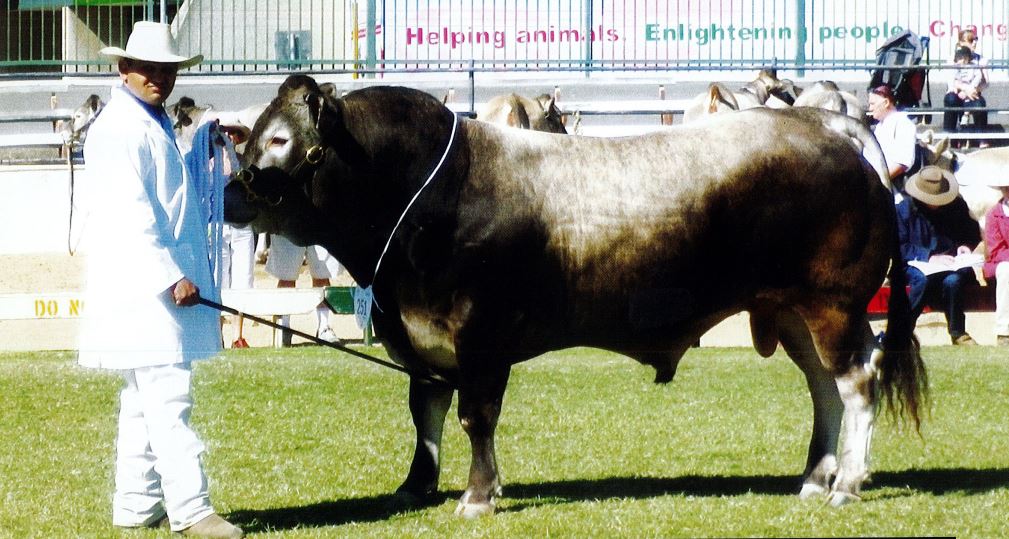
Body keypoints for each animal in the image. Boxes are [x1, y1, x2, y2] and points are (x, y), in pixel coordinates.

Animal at [225, 75, 926, 517]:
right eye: (251, 135)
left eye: (282, 140)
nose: (233, 192)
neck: (429, 195)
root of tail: (826, 123)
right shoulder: (421, 336)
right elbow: (425, 411)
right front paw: (415, 485)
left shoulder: (481, 337)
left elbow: (475, 417)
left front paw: (476, 496)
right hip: (791, 312)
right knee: (822, 388)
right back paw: (813, 479)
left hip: (832, 306)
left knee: (857, 382)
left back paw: (847, 484)